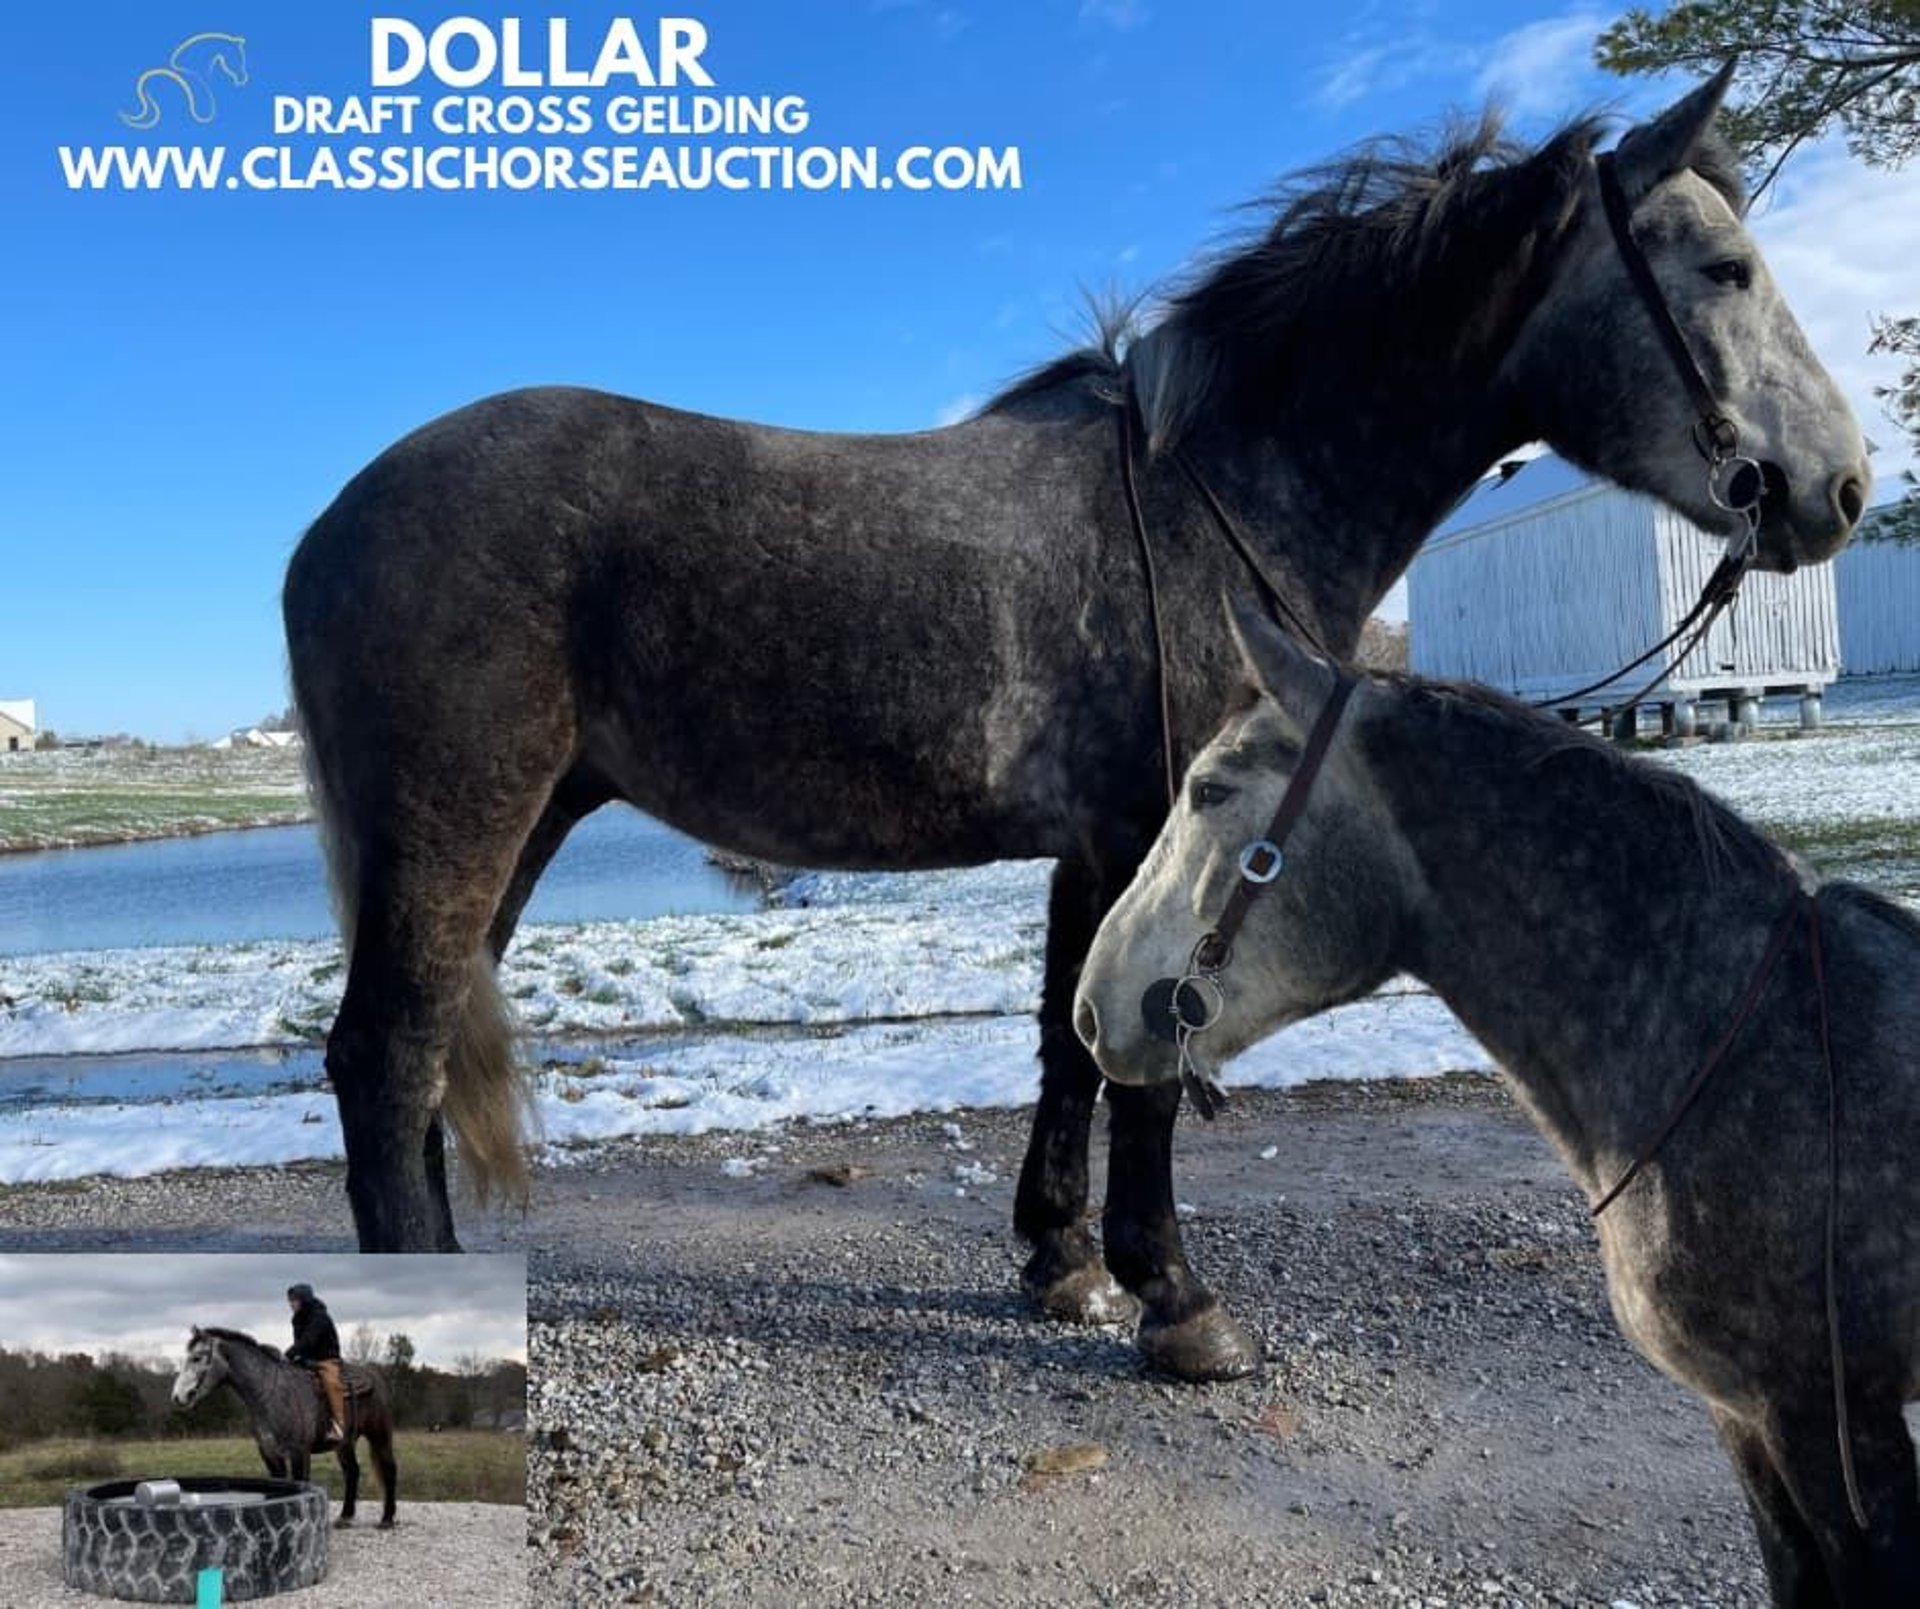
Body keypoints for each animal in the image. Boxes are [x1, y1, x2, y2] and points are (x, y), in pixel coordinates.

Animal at [170, 1327, 399, 1530]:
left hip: (379, 1435)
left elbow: (300, 1486)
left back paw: (387, 1519)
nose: (178, 1397)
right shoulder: (269, 1453)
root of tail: (376, 1375)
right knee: (352, 1472)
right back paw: (345, 1517)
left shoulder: (299, 1452)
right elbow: (280, 1487)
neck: (271, 1394)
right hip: (344, 1443)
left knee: (389, 1468)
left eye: (197, 1358)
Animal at [283, 68, 1870, 1379]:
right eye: (1724, 267)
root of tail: (328, 525)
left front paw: (1061, 1262)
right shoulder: (1165, 824)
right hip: (462, 825)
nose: (1840, 488)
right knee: (387, 1059)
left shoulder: (1100, 850)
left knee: (411, 1065)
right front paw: (1174, 1295)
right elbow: (1145, 1063)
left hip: (513, 830)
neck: (1208, 491)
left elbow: (1070, 1039)